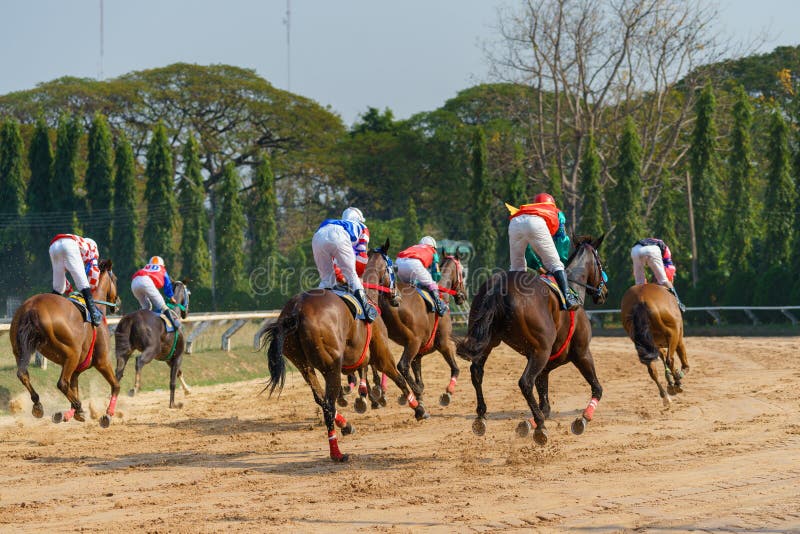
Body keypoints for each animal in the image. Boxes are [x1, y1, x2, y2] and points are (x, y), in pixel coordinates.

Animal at [11, 260, 120, 427]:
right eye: (115, 279)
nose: (118, 301)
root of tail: (32, 307)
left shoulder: (75, 371)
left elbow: (73, 388)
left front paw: (69, 413)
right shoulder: (103, 361)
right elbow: (116, 385)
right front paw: (107, 414)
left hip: (20, 350)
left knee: (23, 374)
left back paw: (38, 404)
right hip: (72, 354)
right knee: (62, 383)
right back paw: (79, 407)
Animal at [260, 239, 429, 462]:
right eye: (393, 268)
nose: (397, 297)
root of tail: (296, 309)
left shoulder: (360, 358)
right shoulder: (382, 356)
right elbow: (399, 379)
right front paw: (419, 408)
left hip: (304, 366)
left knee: (322, 400)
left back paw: (346, 425)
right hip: (330, 366)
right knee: (329, 405)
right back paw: (337, 452)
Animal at [377, 253, 467, 408]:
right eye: (462, 272)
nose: (463, 296)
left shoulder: (418, 355)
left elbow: (419, 376)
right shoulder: (444, 343)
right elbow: (455, 368)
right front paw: (448, 393)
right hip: (414, 341)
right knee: (402, 365)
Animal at [457, 236, 608, 444]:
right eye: (600, 262)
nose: (605, 292)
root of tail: (499, 285)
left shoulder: (544, 368)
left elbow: (546, 404)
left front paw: (527, 423)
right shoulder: (582, 353)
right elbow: (597, 389)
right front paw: (582, 419)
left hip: (488, 341)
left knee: (477, 372)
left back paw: (481, 417)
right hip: (541, 351)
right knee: (525, 382)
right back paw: (541, 428)